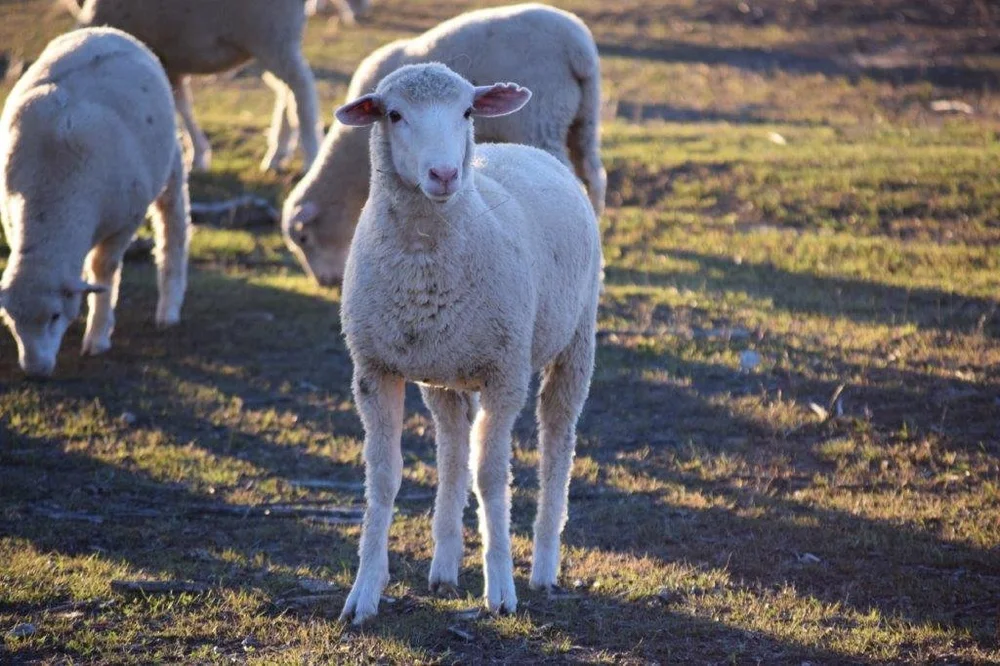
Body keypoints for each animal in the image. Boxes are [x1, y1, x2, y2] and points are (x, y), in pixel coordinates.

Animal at [0, 27, 189, 377]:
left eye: (54, 316)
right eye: (9, 319)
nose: (35, 371)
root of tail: (103, 31)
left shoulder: (126, 219)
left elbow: (104, 269)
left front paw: (98, 335)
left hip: (170, 163)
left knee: (174, 226)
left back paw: (169, 308)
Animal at [62, 0, 321, 173]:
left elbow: (178, 105)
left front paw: (197, 155)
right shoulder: (168, 62)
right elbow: (182, 104)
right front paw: (198, 154)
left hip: (270, 34)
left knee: (301, 88)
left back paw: (311, 157)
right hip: (268, 42)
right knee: (287, 90)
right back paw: (279, 153)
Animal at [283, 3, 606, 286]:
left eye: (304, 239)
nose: (325, 282)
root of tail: (577, 48)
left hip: (540, 118)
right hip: (583, 118)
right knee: (594, 177)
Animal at [335, 63, 602, 624]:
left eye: (465, 111)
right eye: (394, 114)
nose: (443, 175)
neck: (424, 264)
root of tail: (520, 148)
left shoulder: (505, 374)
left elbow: (492, 477)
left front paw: (500, 590)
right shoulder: (373, 370)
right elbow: (384, 480)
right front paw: (364, 593)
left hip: (575, 341)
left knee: (557, 444)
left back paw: (543, 566)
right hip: (444, 369)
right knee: (453, 446)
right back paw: (444, 565)